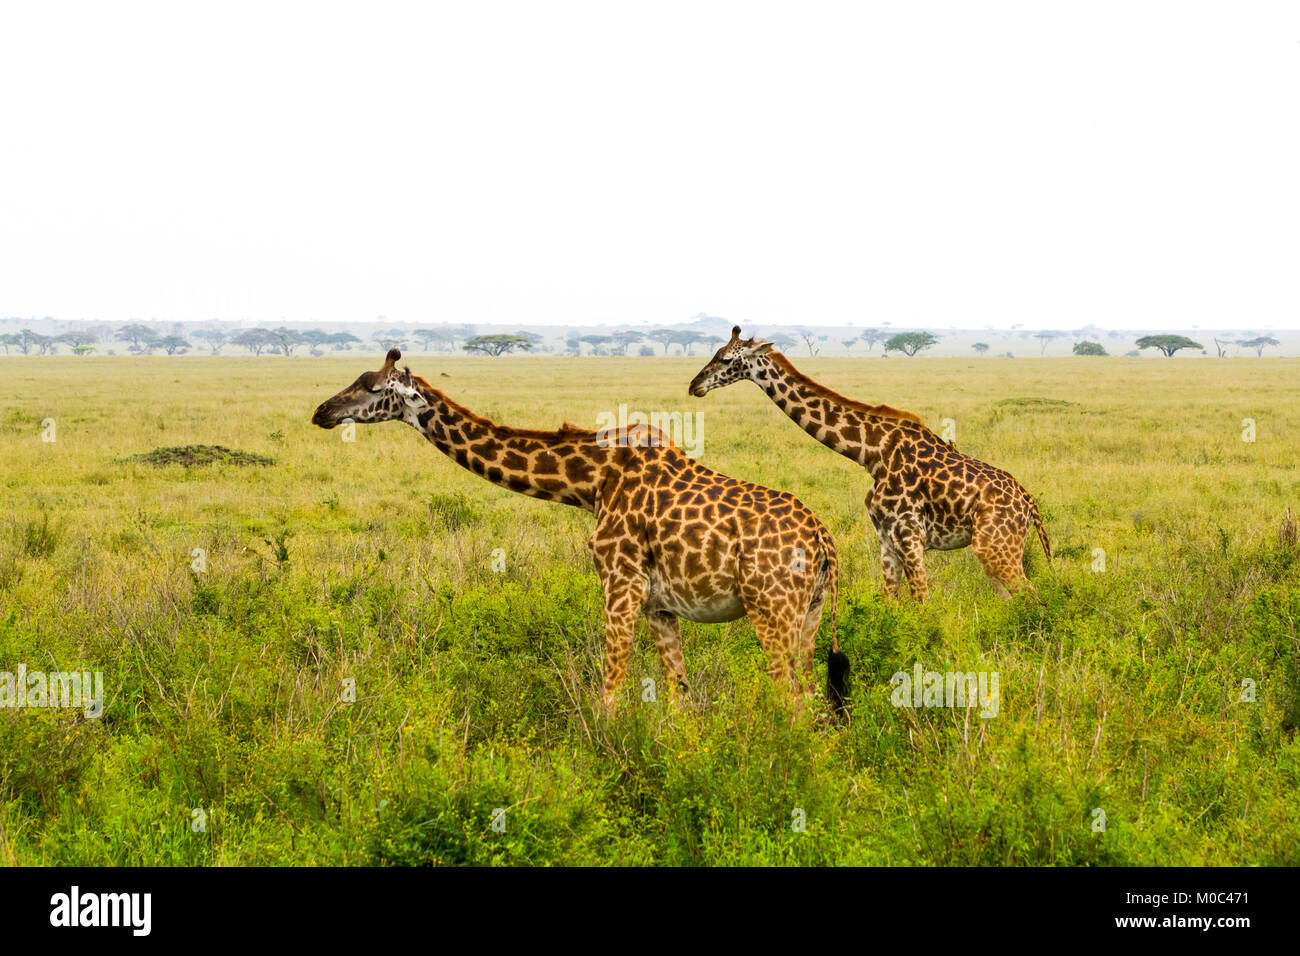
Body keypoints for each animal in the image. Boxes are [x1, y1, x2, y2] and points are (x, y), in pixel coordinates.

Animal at [312, 349, 850, 714]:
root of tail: (824, 542)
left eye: (372, 387)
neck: (591, 481)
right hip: (810, 614)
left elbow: (609, 694)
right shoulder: (659, 605)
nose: (322, 412)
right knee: (808, 701)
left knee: (792, 702)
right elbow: (680, 700)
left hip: (771, 609)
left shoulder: (620, 585)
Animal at [688, 328, 1051, 600]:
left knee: (1032, 596)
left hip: (997, 547)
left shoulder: (910, 536)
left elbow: (922, 603)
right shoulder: (887, 539)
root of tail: (1029, 502)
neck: (871, 452)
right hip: (992, 551)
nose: (695, 385)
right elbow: (889, 601)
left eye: (726, 358)